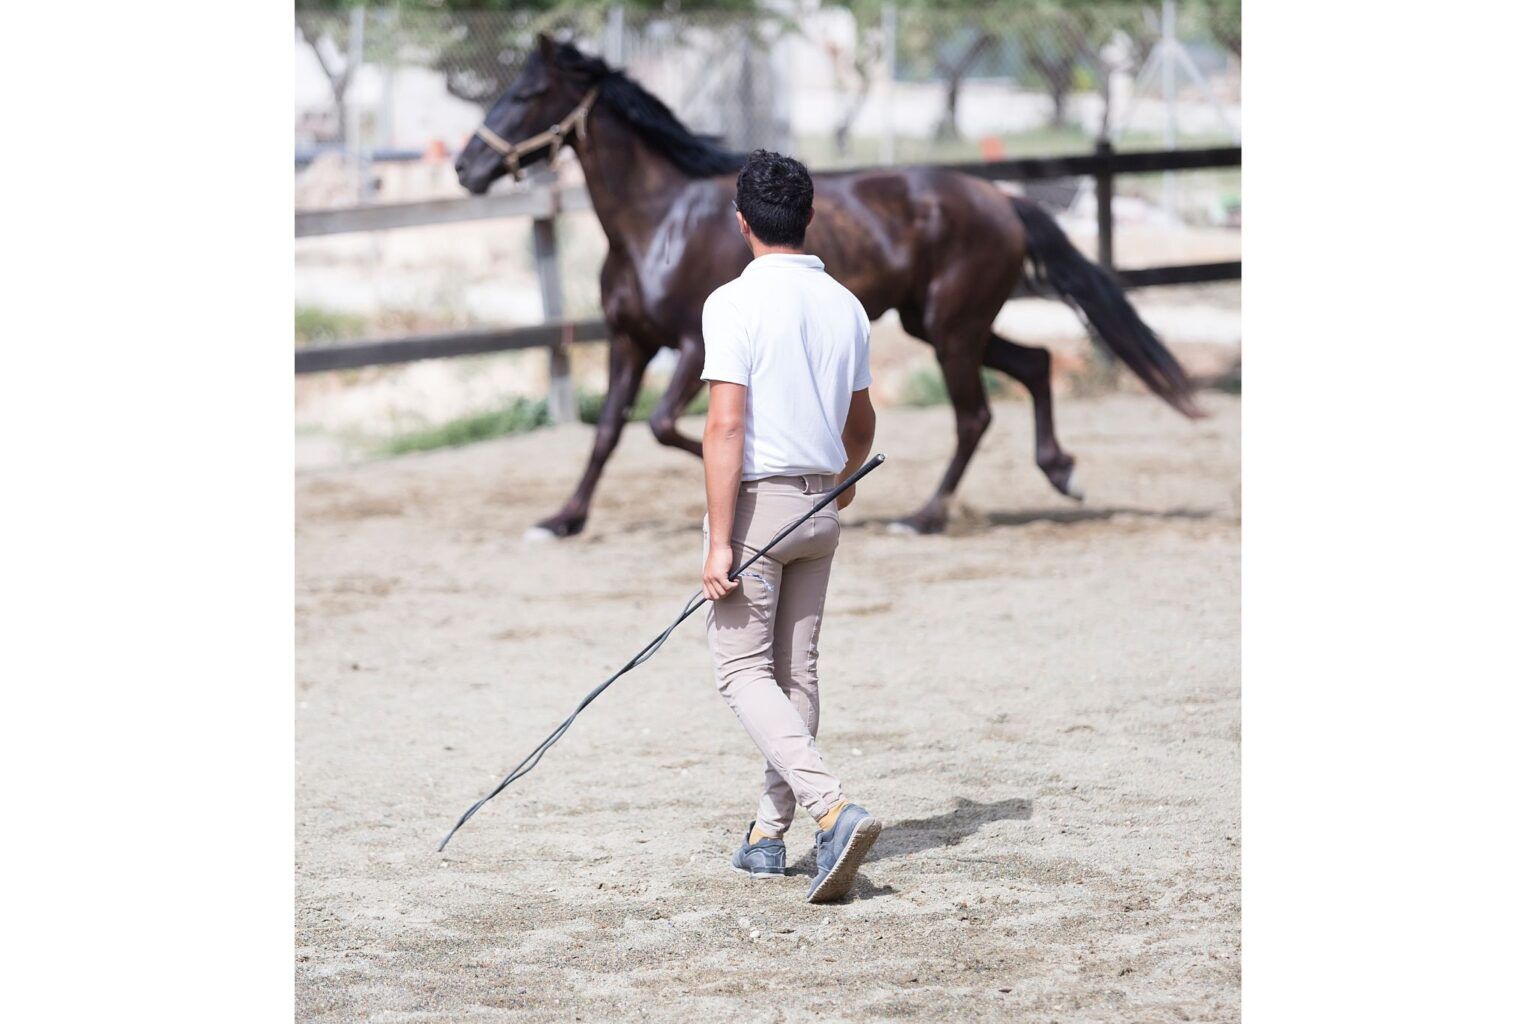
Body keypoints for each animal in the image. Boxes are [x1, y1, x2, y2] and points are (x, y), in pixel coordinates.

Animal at [455, 36, 1200, 537]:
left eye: (526, 95)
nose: (466, 167)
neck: (658, 222)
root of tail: (1001, 199)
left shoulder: (695, 346)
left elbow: (664, 427)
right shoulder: (629, 342)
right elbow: (608, 431)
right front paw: (561, 520)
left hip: (952, 329)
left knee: (976, 414)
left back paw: (923, 516)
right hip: (941, 324)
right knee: (1037, 364)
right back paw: (1062, 474)